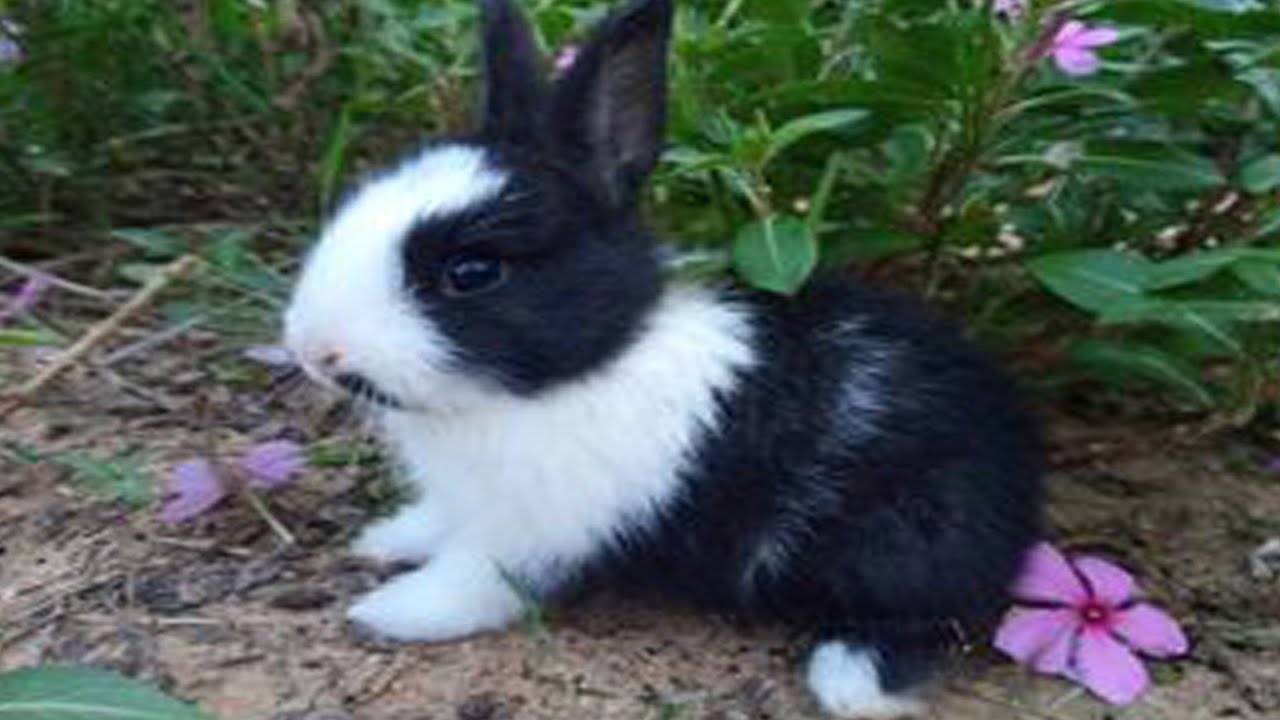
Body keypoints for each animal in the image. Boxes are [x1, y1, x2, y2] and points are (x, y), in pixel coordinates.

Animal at [282, 0, 1044, 716]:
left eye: (471, 274)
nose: (314, 348)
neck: (585, 367)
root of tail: (1020, 491)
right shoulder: (473, 502)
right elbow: (441, 524)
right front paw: (386, 540)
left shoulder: (540, 531)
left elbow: (475, 580)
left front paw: (390, 611)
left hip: (904, 539)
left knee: (931, 617)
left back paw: (852, 682)